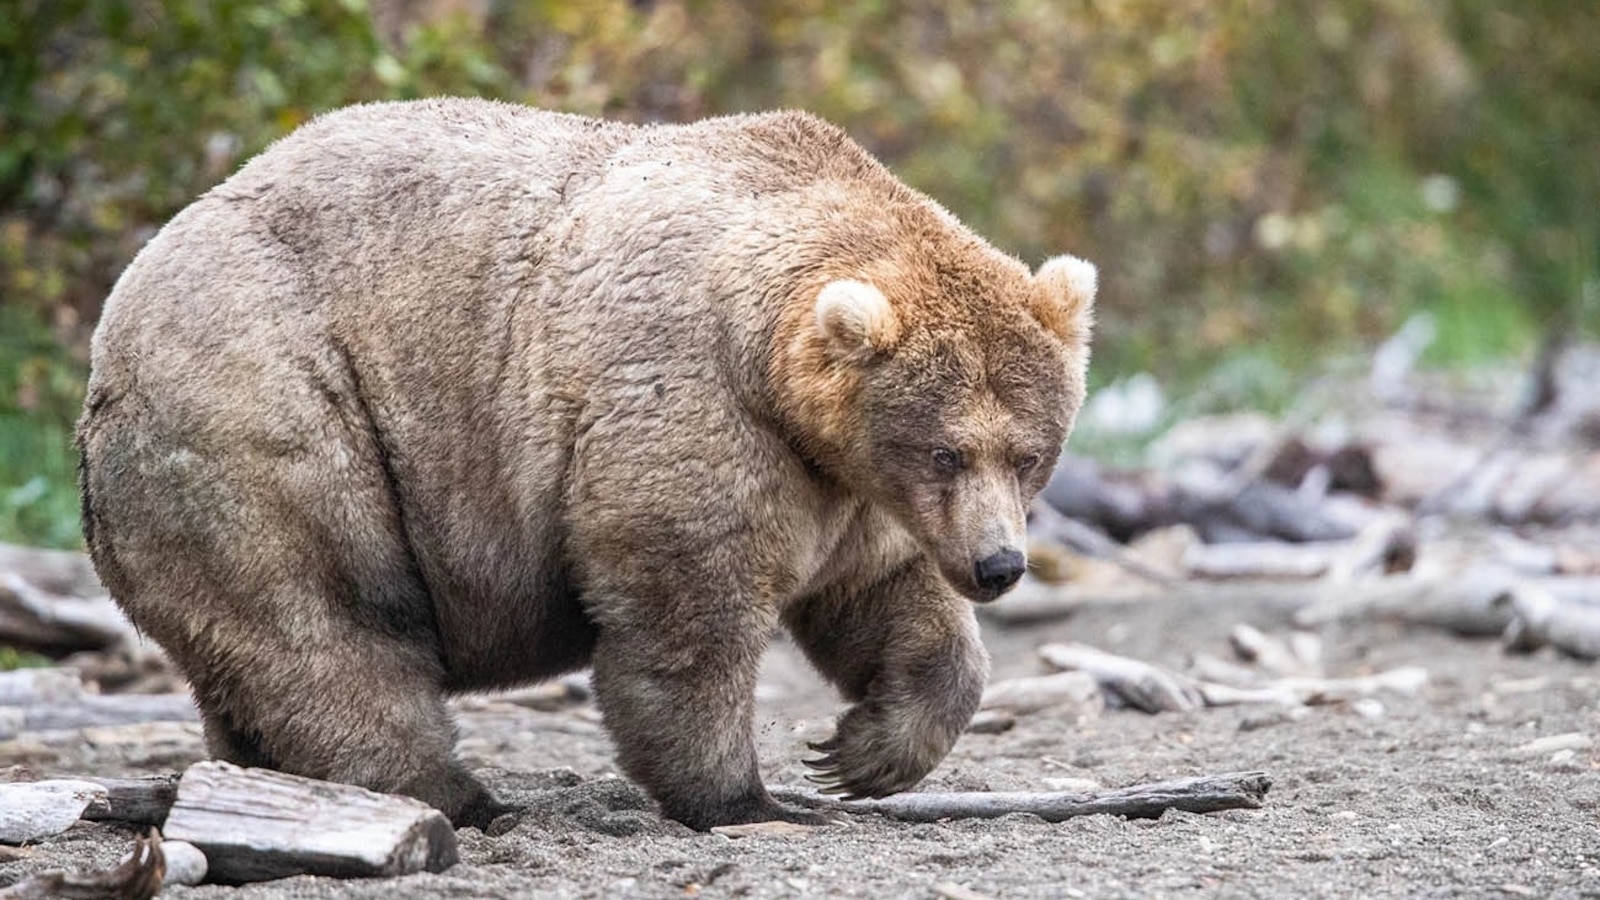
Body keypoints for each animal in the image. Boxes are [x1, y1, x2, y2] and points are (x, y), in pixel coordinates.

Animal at [76, 98, 1096, 830]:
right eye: (947, 448)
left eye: (1029, 453)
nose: (1000, 566)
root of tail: (115, 322)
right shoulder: (693, 404)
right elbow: (687, 610)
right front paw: (746, 797)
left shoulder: (849, 487)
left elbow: (885, 597)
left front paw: (861, 753)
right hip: (274, 406)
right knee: (328, 617)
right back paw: (457, 795)